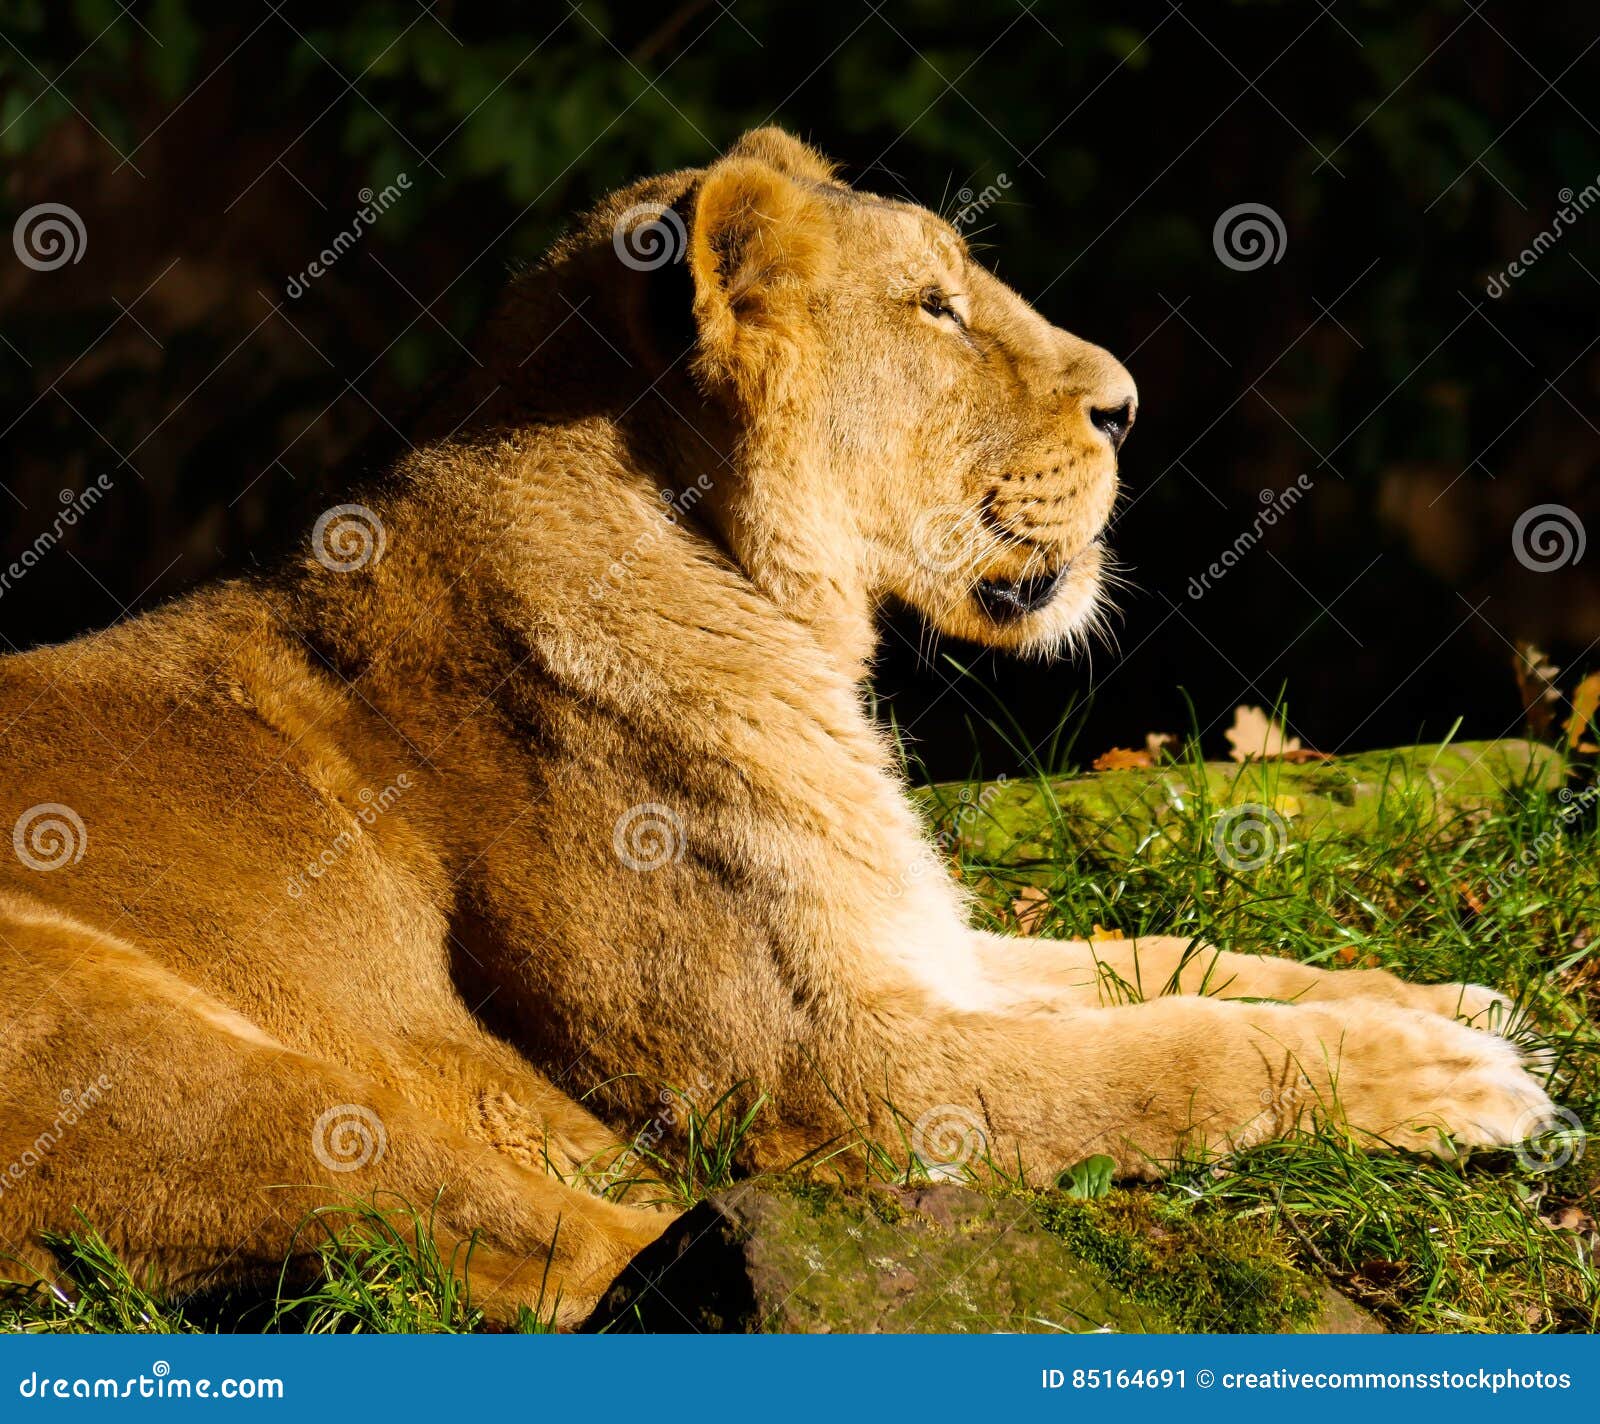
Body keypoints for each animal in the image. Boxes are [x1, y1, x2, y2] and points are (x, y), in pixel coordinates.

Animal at [0, 128, 1555, 1328]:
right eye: (934, 307)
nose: (1129, 404)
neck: (788, 618)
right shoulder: (824, 1077)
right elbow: (1165, 1053)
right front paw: (1448, 1078)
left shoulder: (900, 943)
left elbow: (1169, 960)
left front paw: (1442, 1002)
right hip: (178, 1057)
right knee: (572, 1266)